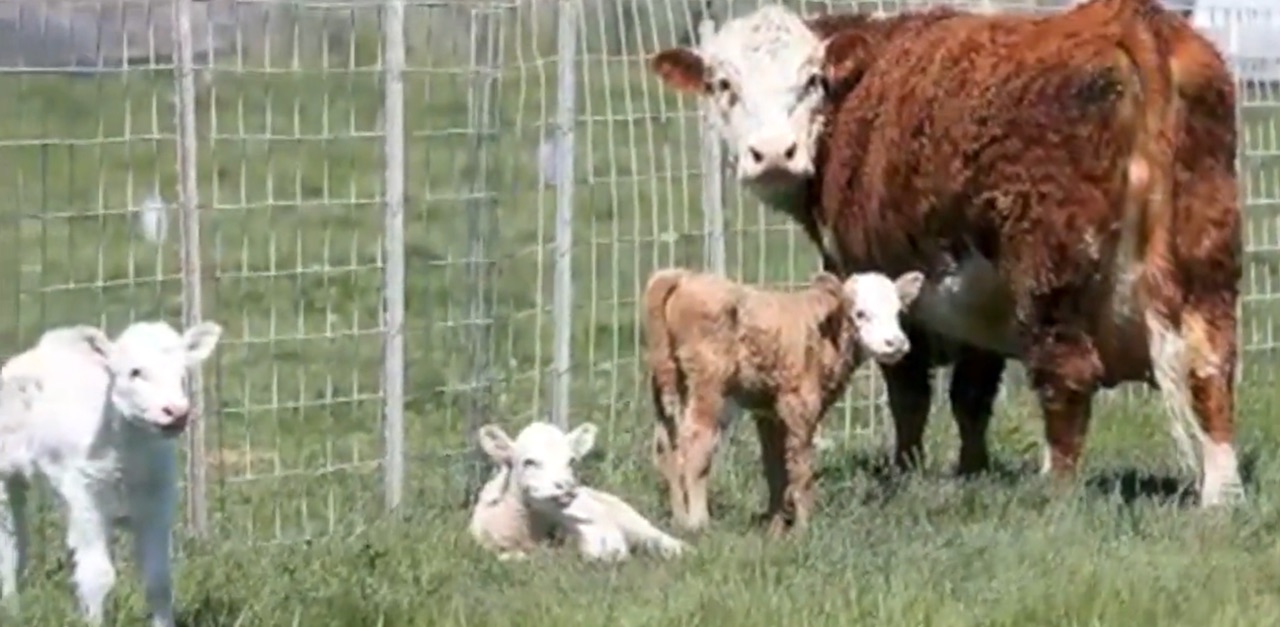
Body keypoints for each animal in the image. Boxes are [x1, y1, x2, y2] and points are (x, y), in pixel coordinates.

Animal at [647, 0, 1243, 507]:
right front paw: (971, 471)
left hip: (1049, 276)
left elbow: (908, 392)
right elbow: (970, 397)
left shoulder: (889, 282)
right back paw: (1221, 496)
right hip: (1206, 258)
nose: (773, 153)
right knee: (1210, 365)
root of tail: (1130, 22)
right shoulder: (978, 297)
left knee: (1068, 375)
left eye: (812, 79)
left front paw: (906, 473)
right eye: (722, 84)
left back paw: (1056, 494)